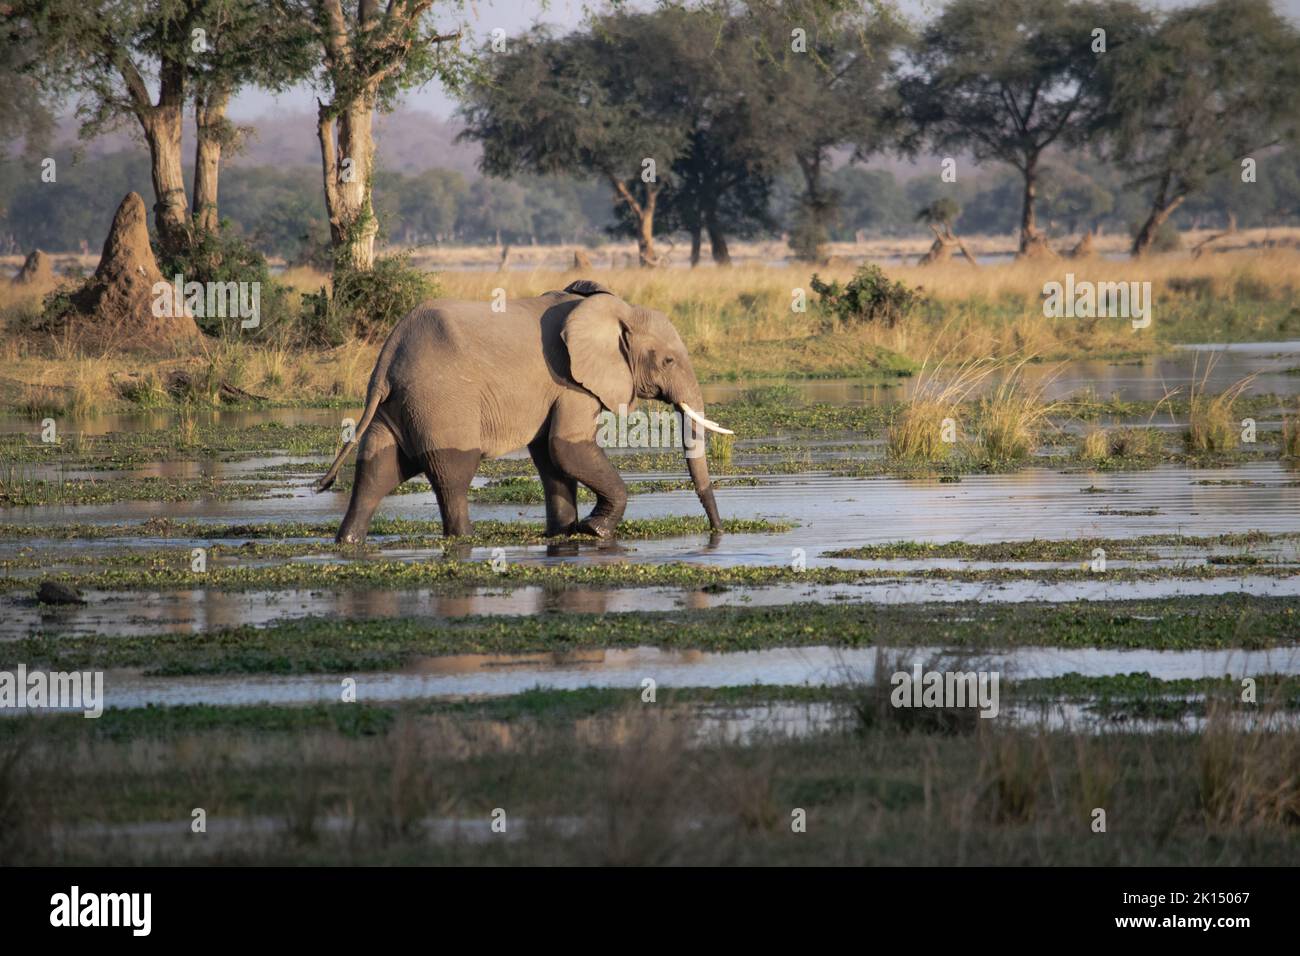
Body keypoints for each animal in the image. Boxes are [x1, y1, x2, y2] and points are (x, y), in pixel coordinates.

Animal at [317, 280, 732, 543]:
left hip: (399, 403)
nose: (716, 531)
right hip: (438, 402)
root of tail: (388, 354)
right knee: (452, 474)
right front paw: (593, 531)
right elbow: (567, 447)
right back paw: (465, 540)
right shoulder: (570, 381)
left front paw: (565, 533)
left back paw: (347, 542)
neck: (614, 309)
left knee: (376, 470)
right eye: (668, 360)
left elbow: (551, 456)